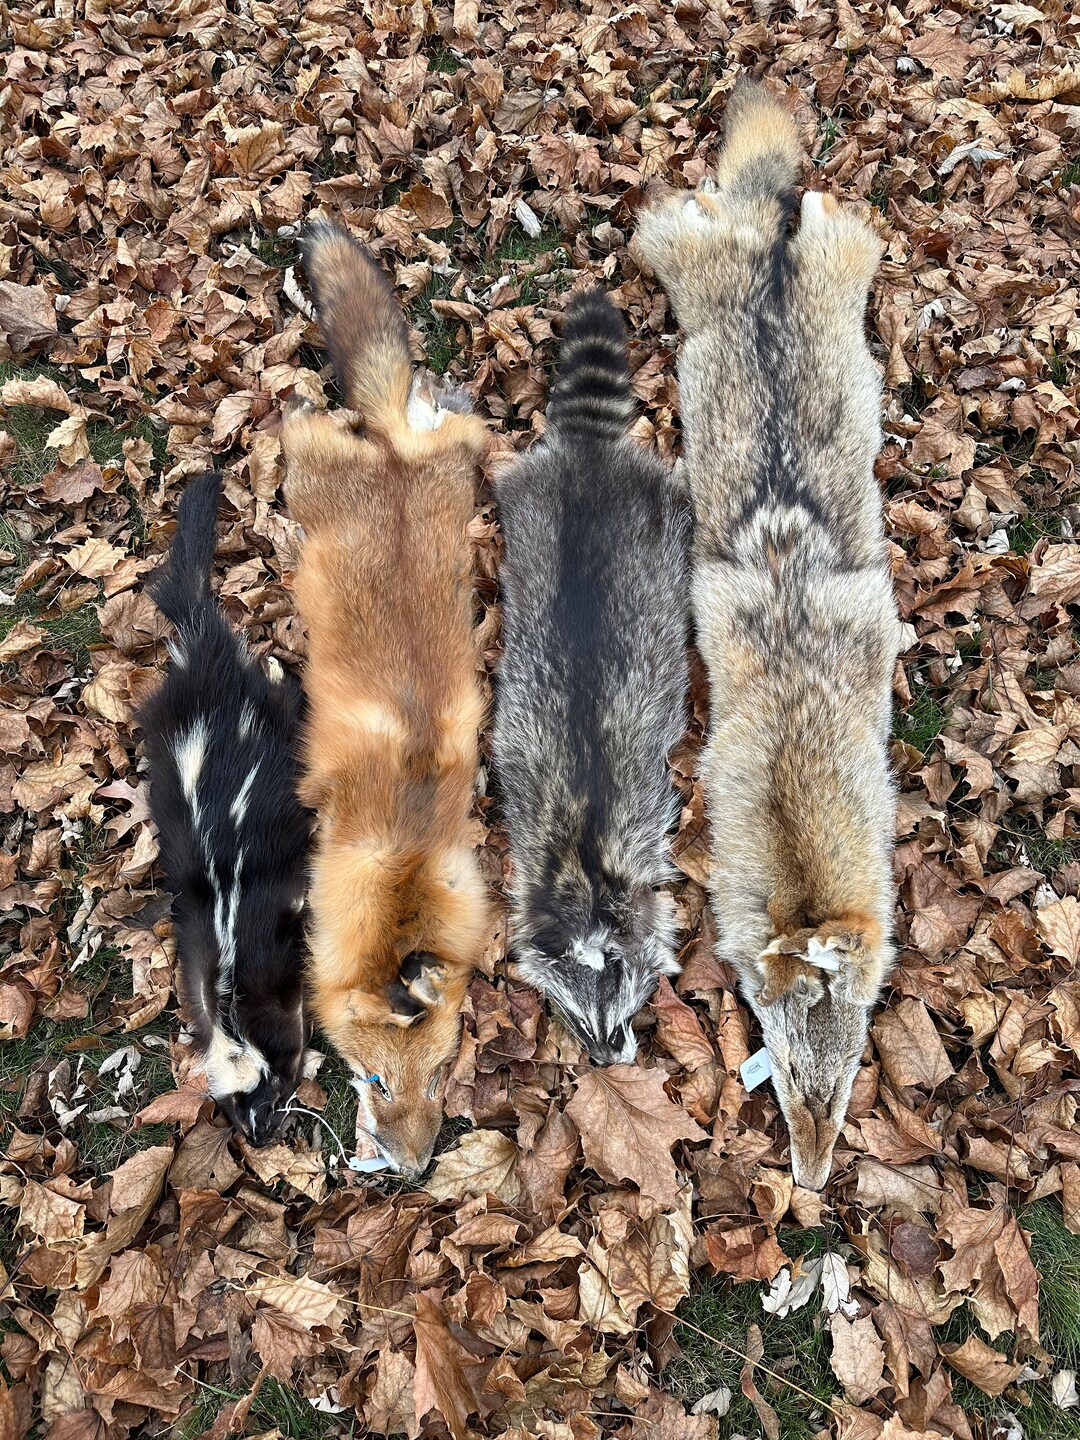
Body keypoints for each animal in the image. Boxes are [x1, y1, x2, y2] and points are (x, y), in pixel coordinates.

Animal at [139, 471, 311, 1146]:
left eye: (276, 1088)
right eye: (241, 1111)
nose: (262, 1136)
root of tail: (199, 655)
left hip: (265, 718)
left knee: (288, 701)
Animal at [494, 288, 689, 1064]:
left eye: (619, 1010)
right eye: (579, 1019)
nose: (607, 1058)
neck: (580, 884)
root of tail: (586, 460)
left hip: (655, 509)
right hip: (528, 509)